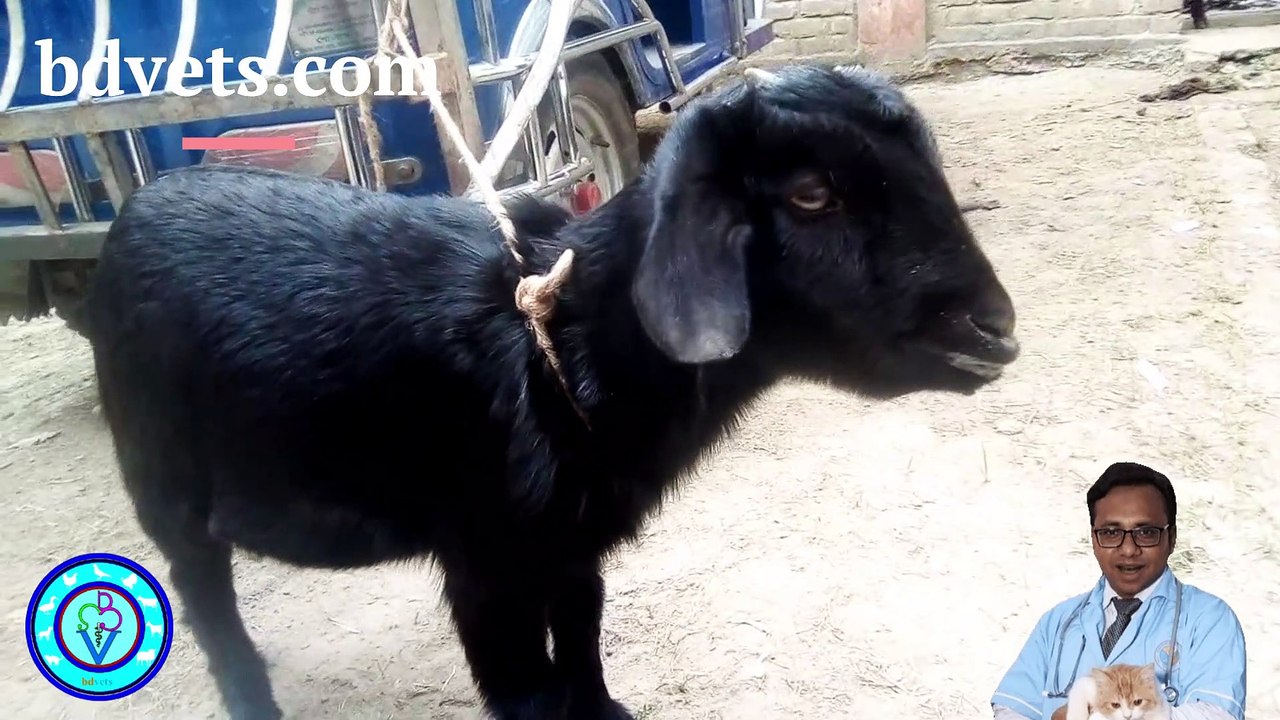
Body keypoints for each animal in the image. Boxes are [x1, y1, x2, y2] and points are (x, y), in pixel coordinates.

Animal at [82, 63, 1020, 720]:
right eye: (811, 193)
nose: (994, 330)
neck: (562, 345)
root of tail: (136, 207)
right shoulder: (482, 559)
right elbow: (529, 691)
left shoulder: (573, 546)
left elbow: (584, 651)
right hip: (158, 475)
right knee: (202, 592)